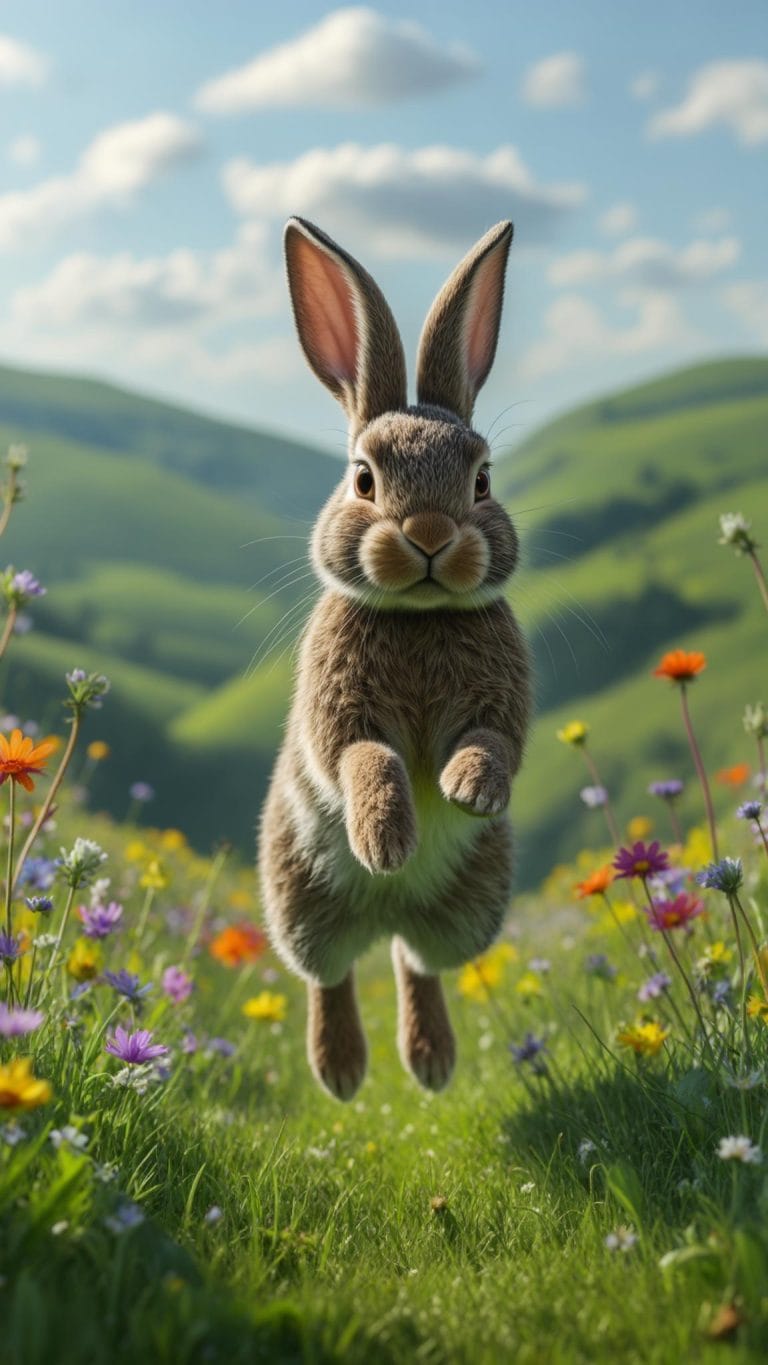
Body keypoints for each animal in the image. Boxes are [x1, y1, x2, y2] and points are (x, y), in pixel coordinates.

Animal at [259, 216, 532, 1101]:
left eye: (482, 480)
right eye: (363, 479)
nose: (432, 536)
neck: (417, 615)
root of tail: (385, 916)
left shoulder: (498, 705)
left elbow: (490, 741)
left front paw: (468, 789)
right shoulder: (339, 715)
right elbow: (364, 756)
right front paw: (384, 841)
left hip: (472, 907)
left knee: (419, 963)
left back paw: (430, 1060)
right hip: (296, 893)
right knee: (330, 973)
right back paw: (342, 1069)